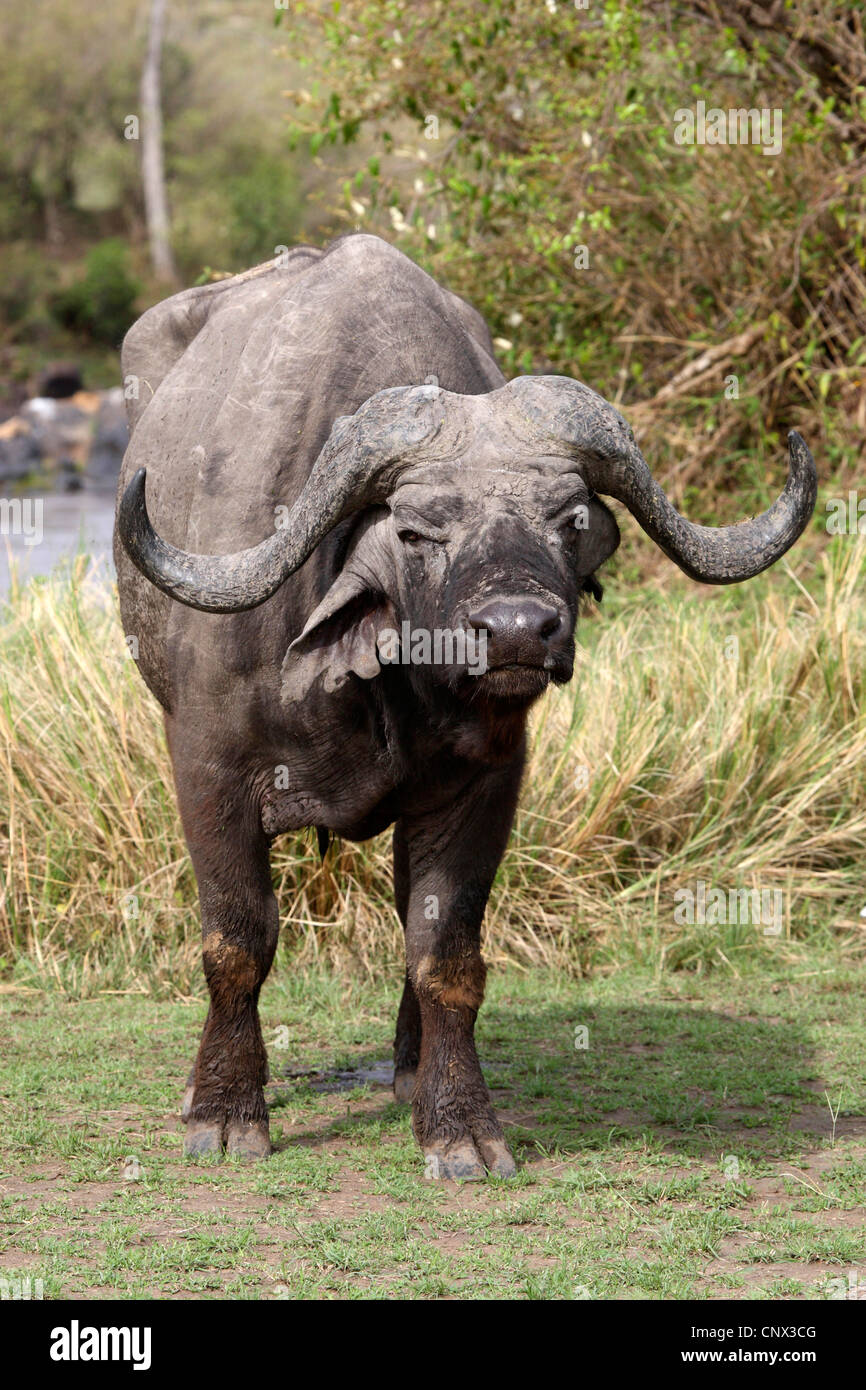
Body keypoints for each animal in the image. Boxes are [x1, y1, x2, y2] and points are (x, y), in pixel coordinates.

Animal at [115, 234, 816, 1179]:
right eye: (417, 530)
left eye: (570, 519)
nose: (518, 631)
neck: (372, 688)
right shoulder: (207, 767)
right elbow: (236, 942)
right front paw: (224, 1112)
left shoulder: (485, 785)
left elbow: (444, 952)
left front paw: (457, 1127)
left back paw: (410, 1074)